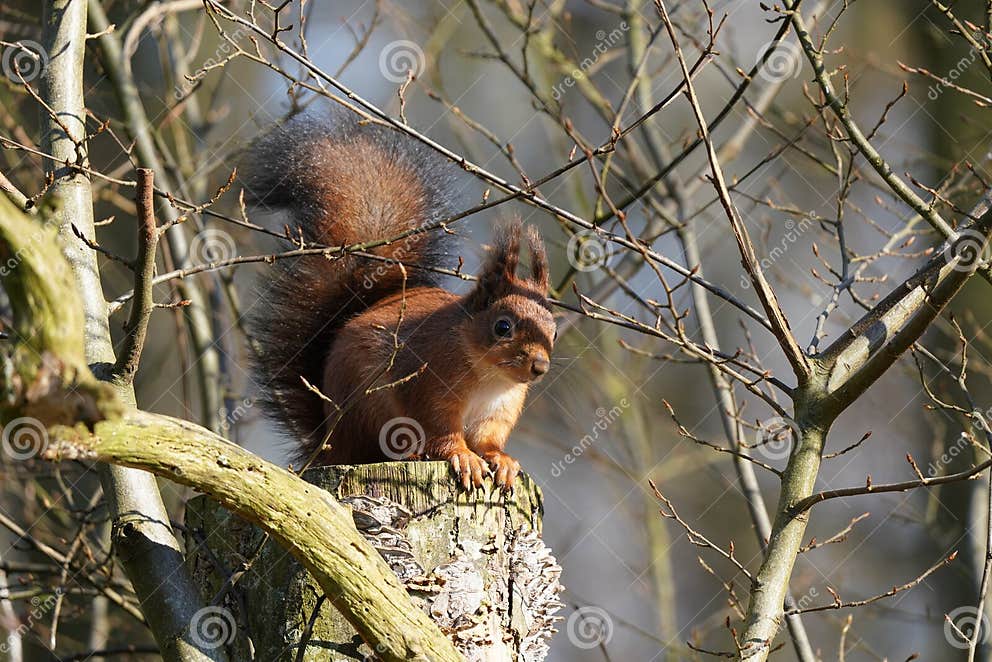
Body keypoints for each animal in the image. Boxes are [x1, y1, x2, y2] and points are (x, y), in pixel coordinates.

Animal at [242, 110, 556, 491]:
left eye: (554, 332)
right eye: (502, 326)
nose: (539, 366)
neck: (490, 376)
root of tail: (331, 443)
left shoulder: (500, 410)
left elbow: (489, 440)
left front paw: (502, 460)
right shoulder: (429, 382)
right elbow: (440, 430)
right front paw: (463, 457)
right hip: (368, 410)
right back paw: (412, 454)